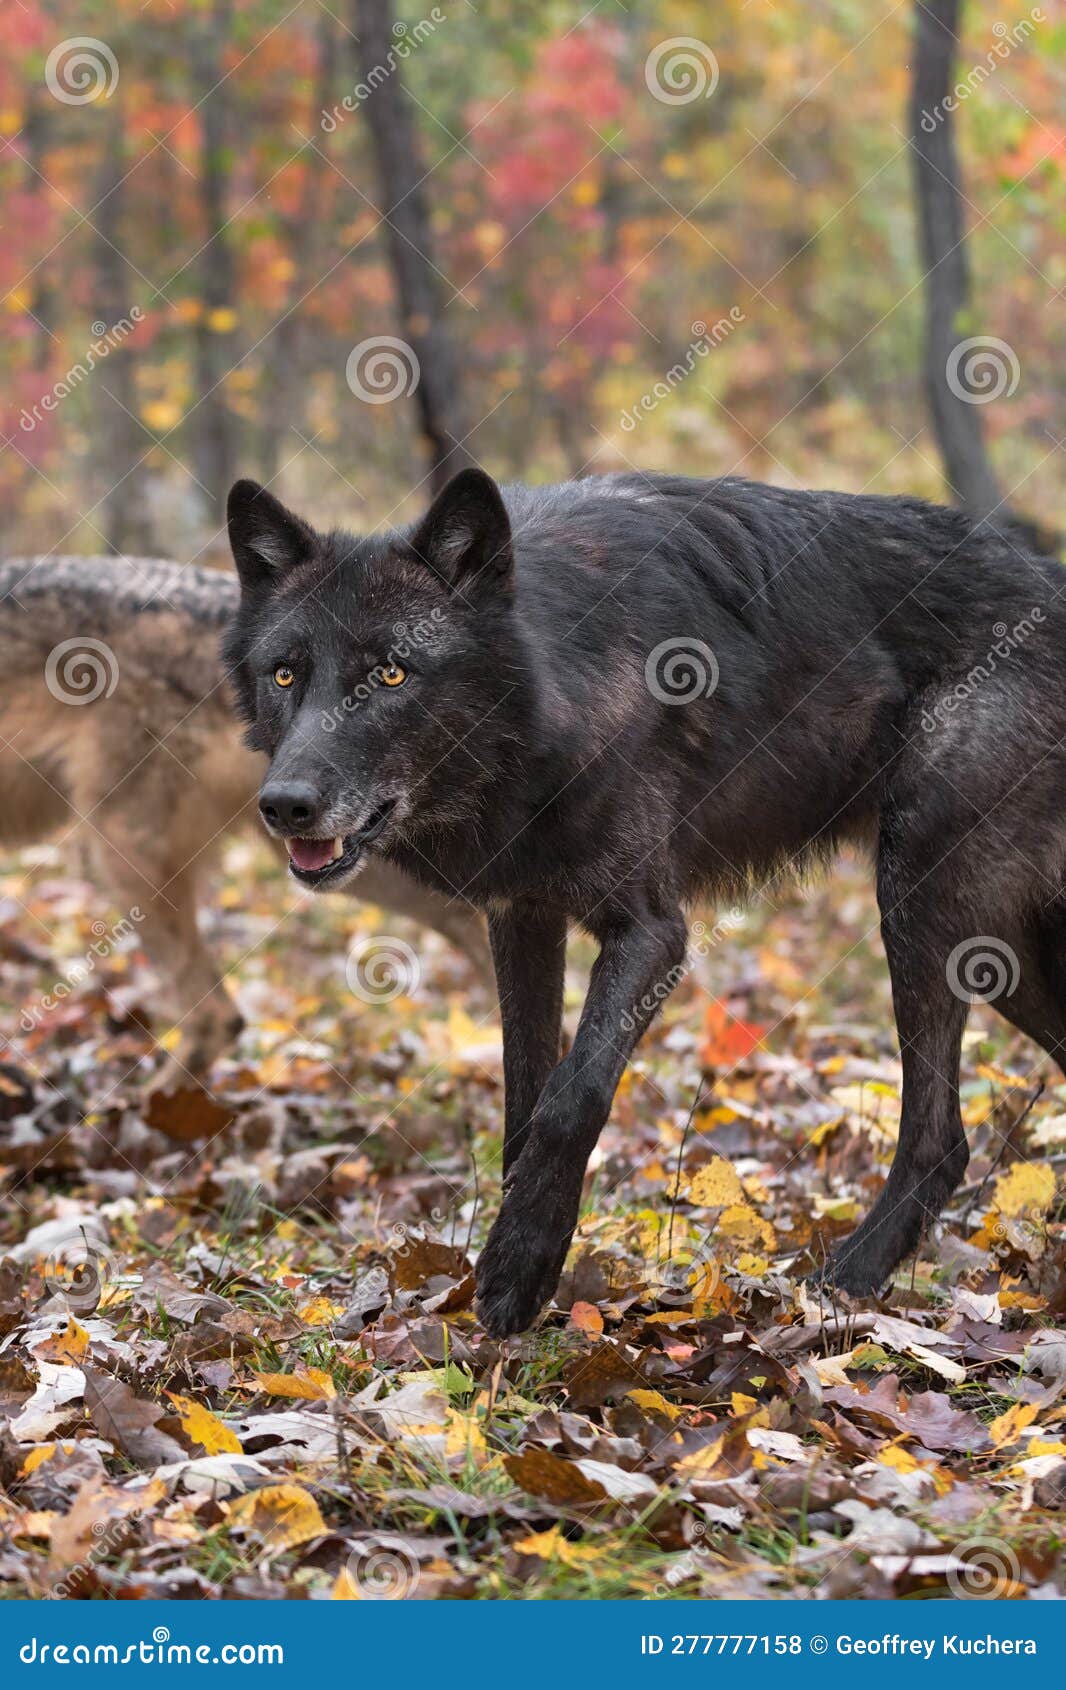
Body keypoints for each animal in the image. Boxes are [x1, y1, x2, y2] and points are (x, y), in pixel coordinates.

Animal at [222, 467, 1065, 1335]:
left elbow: (572, 1095)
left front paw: (519, 1271)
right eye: (285, 674)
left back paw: (846, 1281)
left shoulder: (652, 933)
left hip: (919, 908)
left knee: (940, 1140)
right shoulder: (523, 918)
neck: (550, 692)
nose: (285, 805)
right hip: (1002, 959)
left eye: (390, 674)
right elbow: (524, 1100)